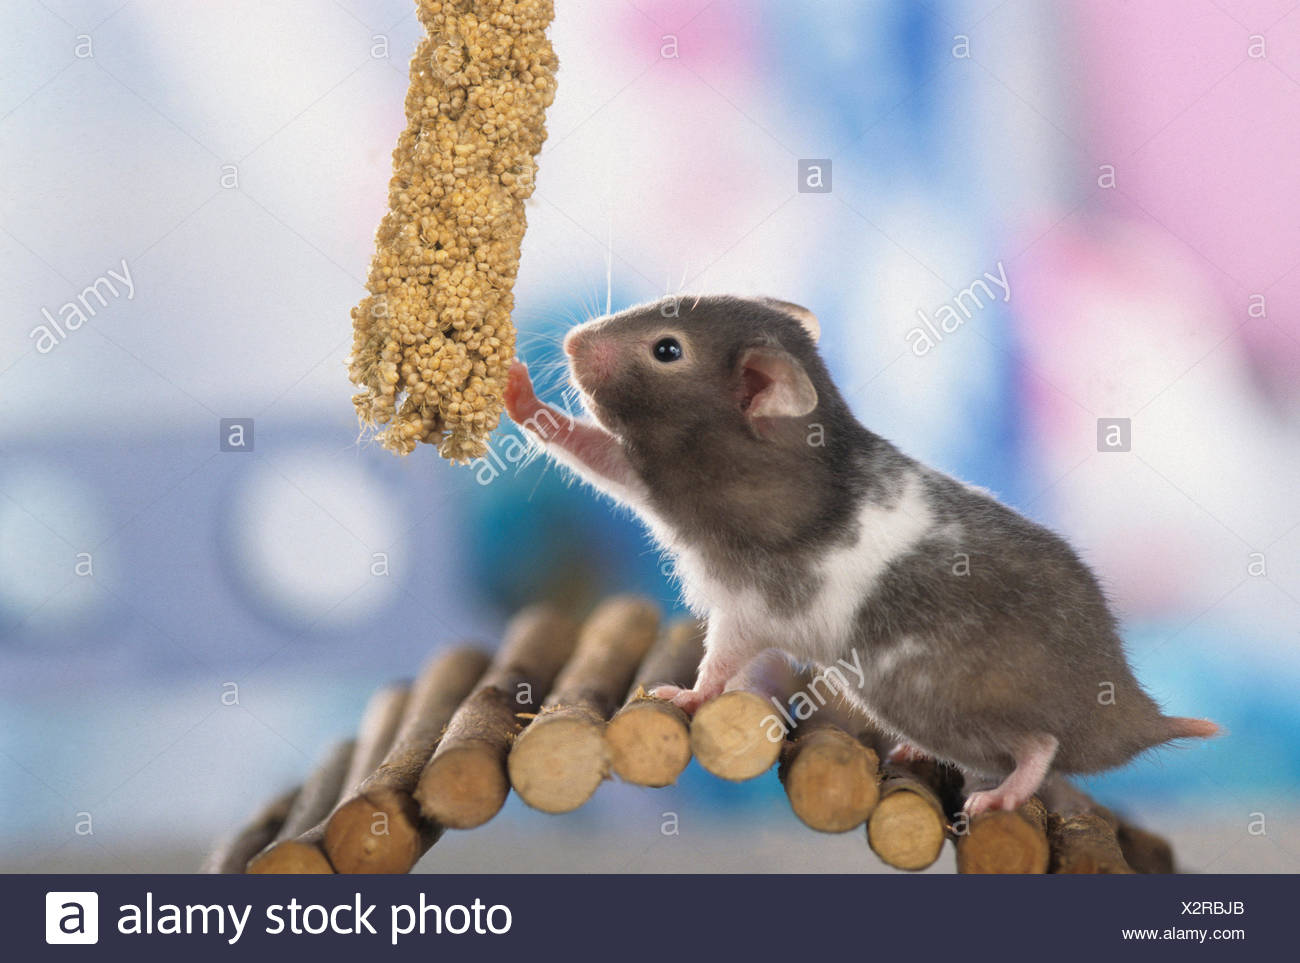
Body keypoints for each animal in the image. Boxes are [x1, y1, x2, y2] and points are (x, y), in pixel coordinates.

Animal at [503, 294, 1218, 814]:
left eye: (667, 350)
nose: (570, 342)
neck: (800, 433)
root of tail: (1130, 712)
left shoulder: (738, 583)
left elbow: (721, 657)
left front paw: (686, 693)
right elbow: (601, 455)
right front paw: (518, 388)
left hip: (945, 701)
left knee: (1039, 742)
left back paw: (1007, 791)